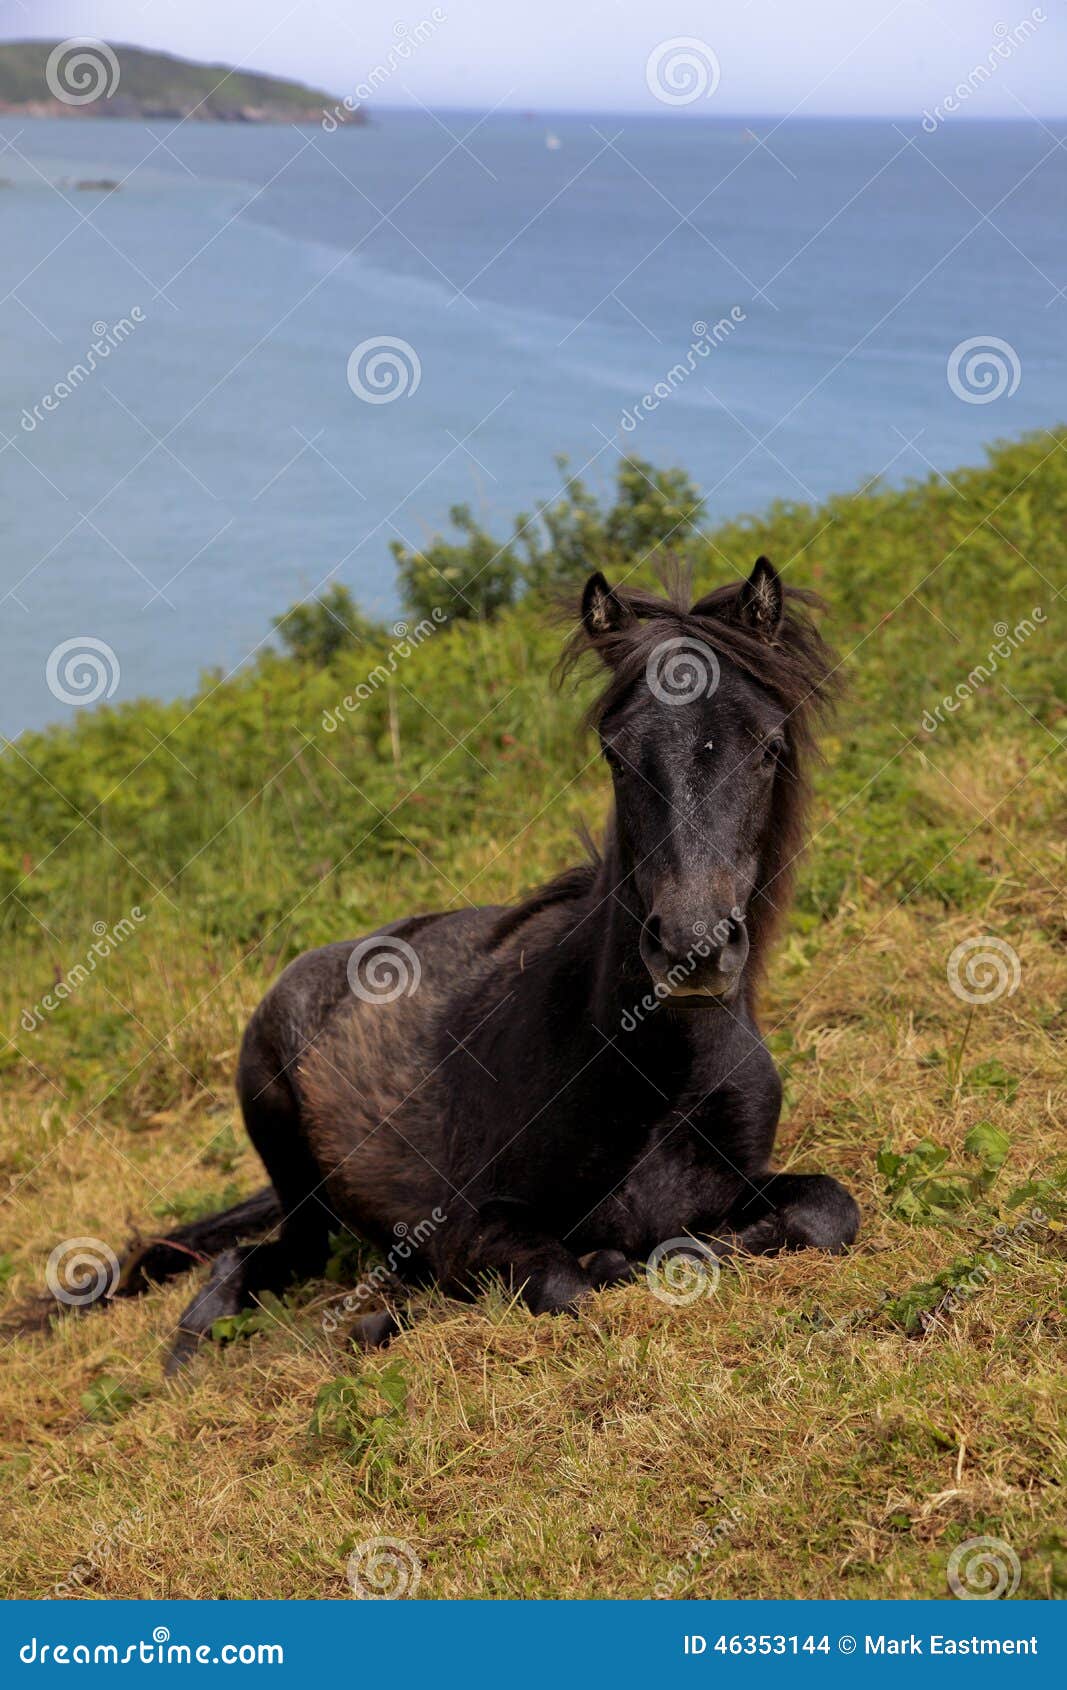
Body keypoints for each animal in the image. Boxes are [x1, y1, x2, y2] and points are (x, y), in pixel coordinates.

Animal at [89, 556, 862, 1370]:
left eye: (769, 747)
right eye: (615, 755)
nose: (691, 948)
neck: (655, 1073)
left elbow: (828, 1209)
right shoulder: (468, 1228)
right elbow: (568, 1280)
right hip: (297, 1178)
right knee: (256, 1259)